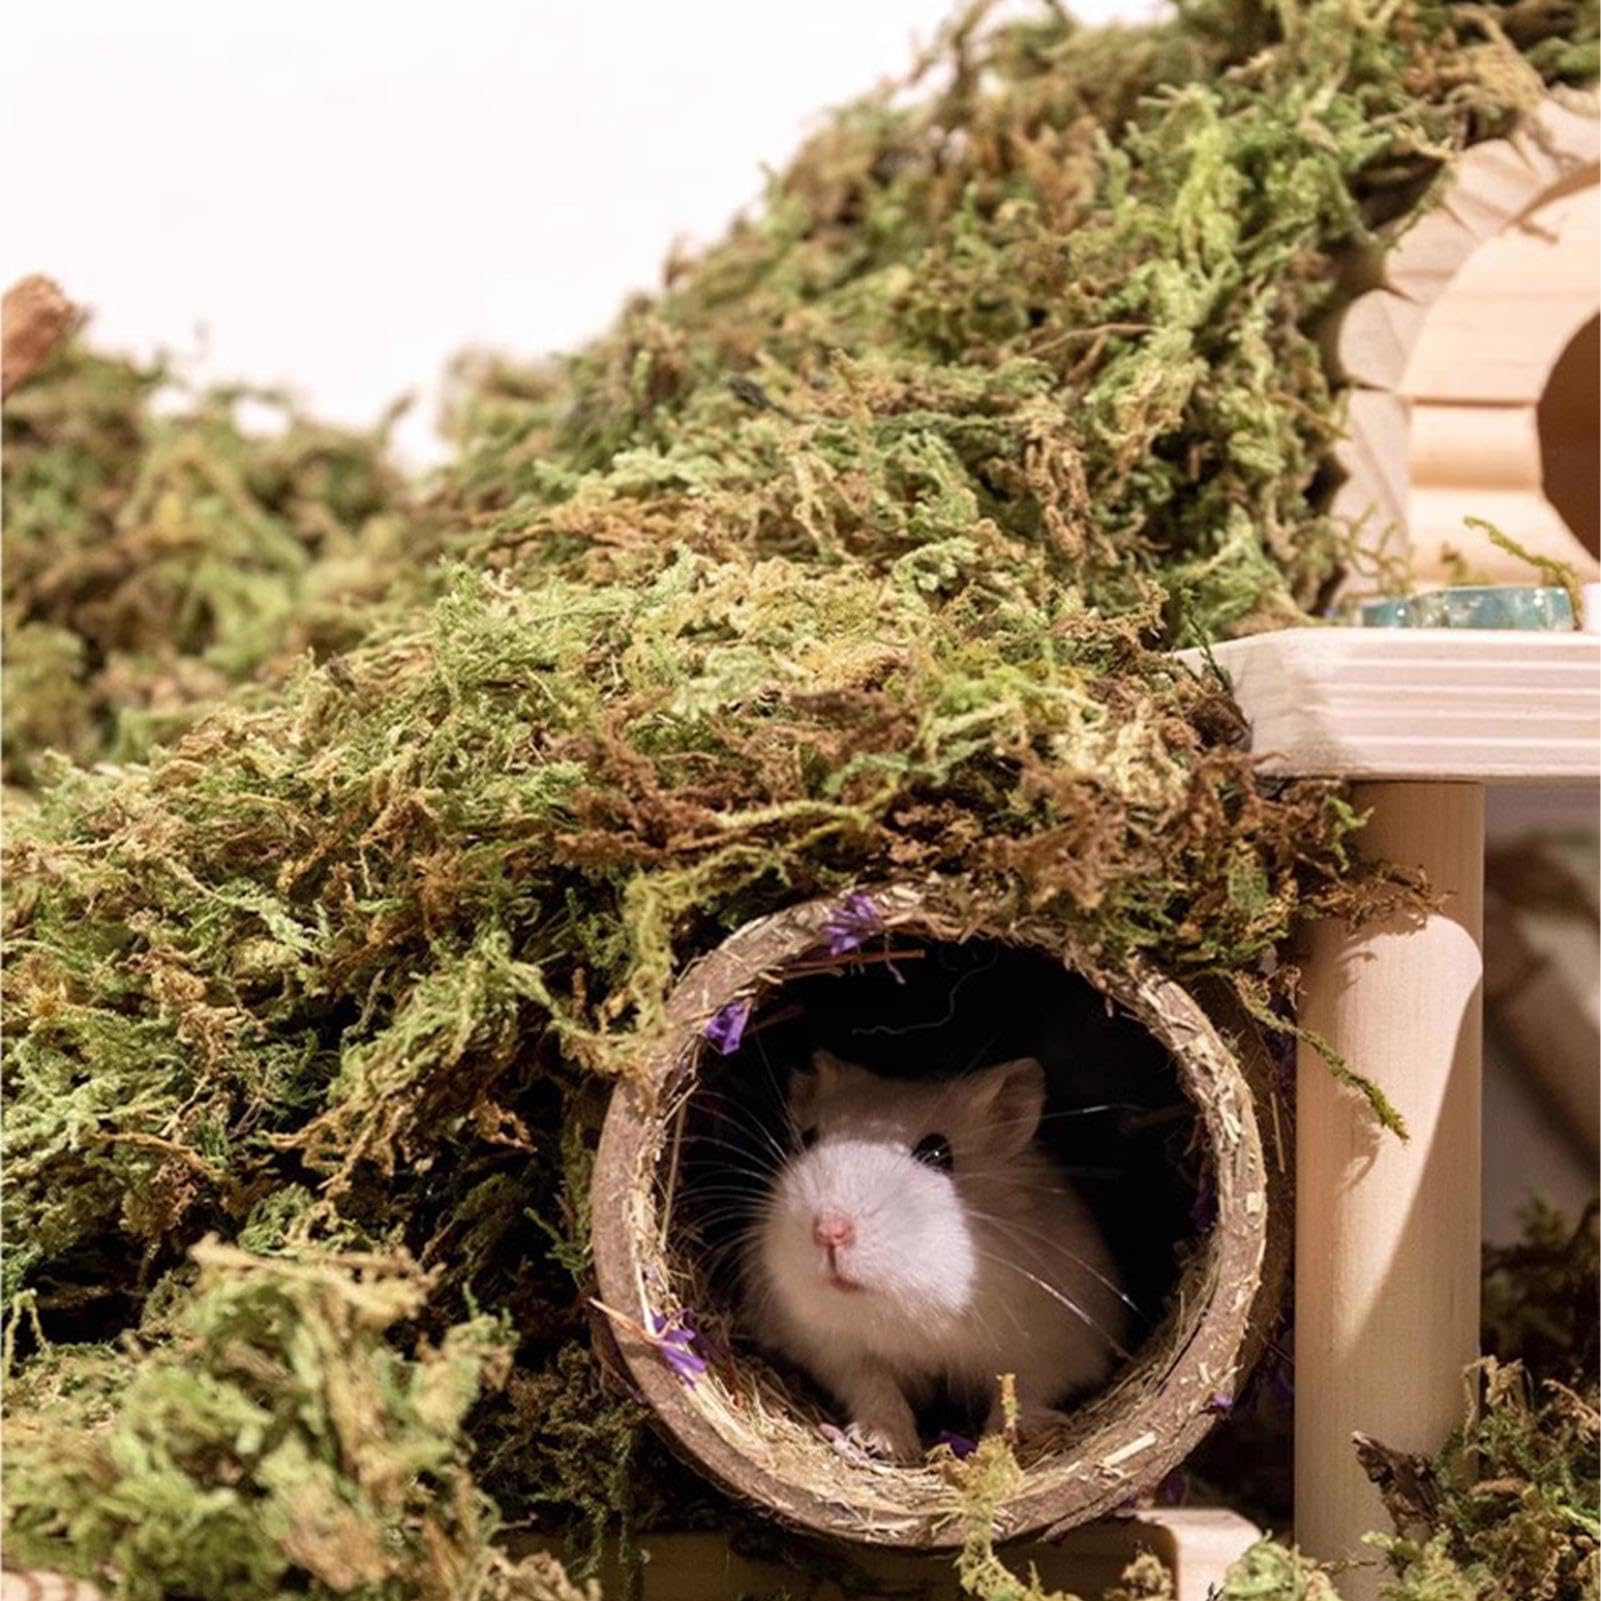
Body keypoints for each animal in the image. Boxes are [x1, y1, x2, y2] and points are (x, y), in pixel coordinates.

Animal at [740, 1049, 1129, 1461]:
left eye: (938, 1151)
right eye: (807, 1138)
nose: (828, 1231)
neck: (916, 1309)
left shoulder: (1057, 1349)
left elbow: (1022, 1390)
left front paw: (999, 1441)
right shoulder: (837, 1352)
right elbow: (873, 1385)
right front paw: (884, 1443)